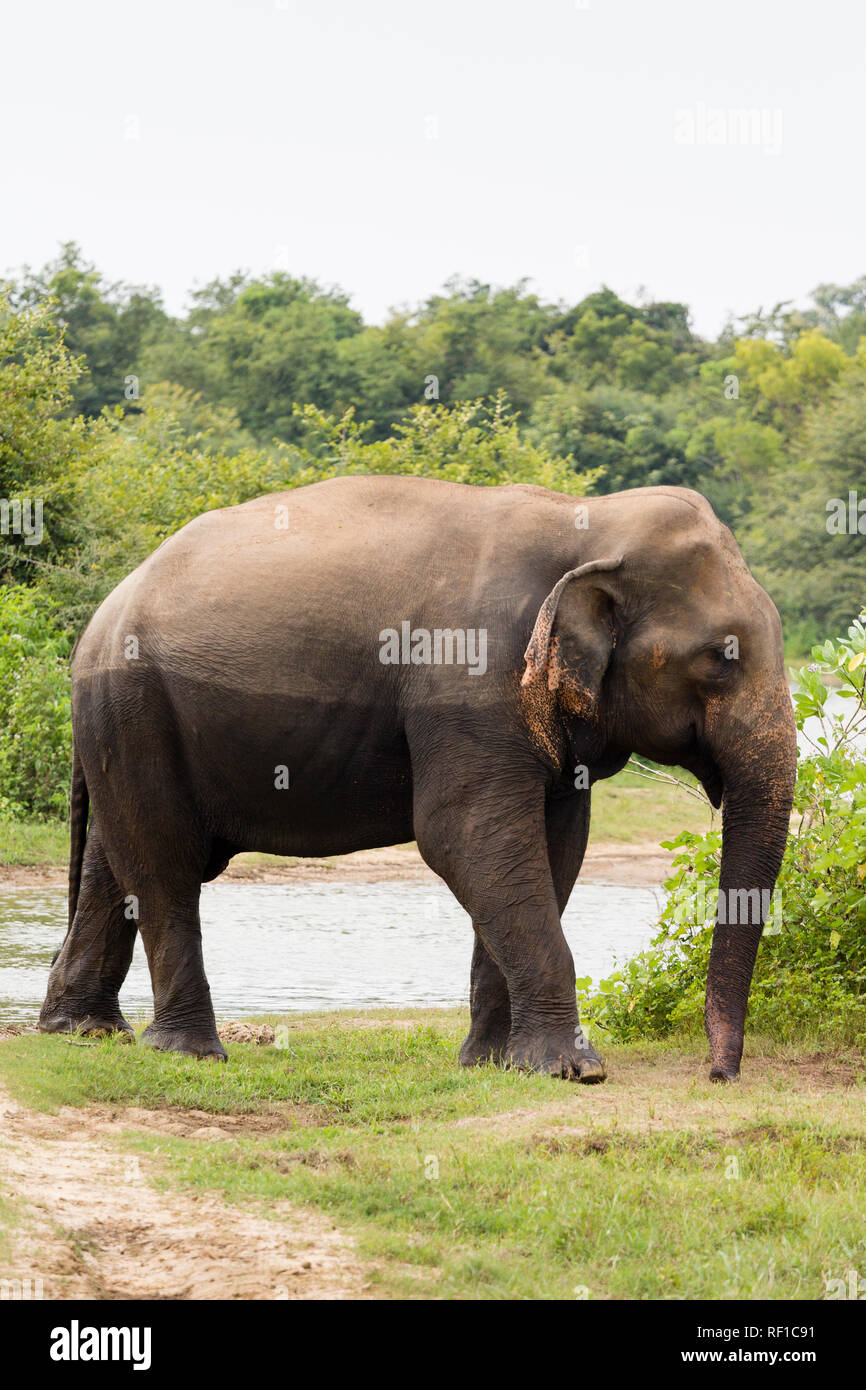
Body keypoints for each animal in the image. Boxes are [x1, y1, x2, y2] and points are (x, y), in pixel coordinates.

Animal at [40, 476, 797, 1082]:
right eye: (720, 657)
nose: (718, 1075)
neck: (585, 518)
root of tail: (99, 618)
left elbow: (553, 848)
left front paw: (495, 1065)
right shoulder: (469, 685)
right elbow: (468, 837)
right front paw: (574, 1071)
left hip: (126, 724)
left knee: (116, 860)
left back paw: (83, 1031)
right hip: (134, 708)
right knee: (164, 864)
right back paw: (190, 1053)